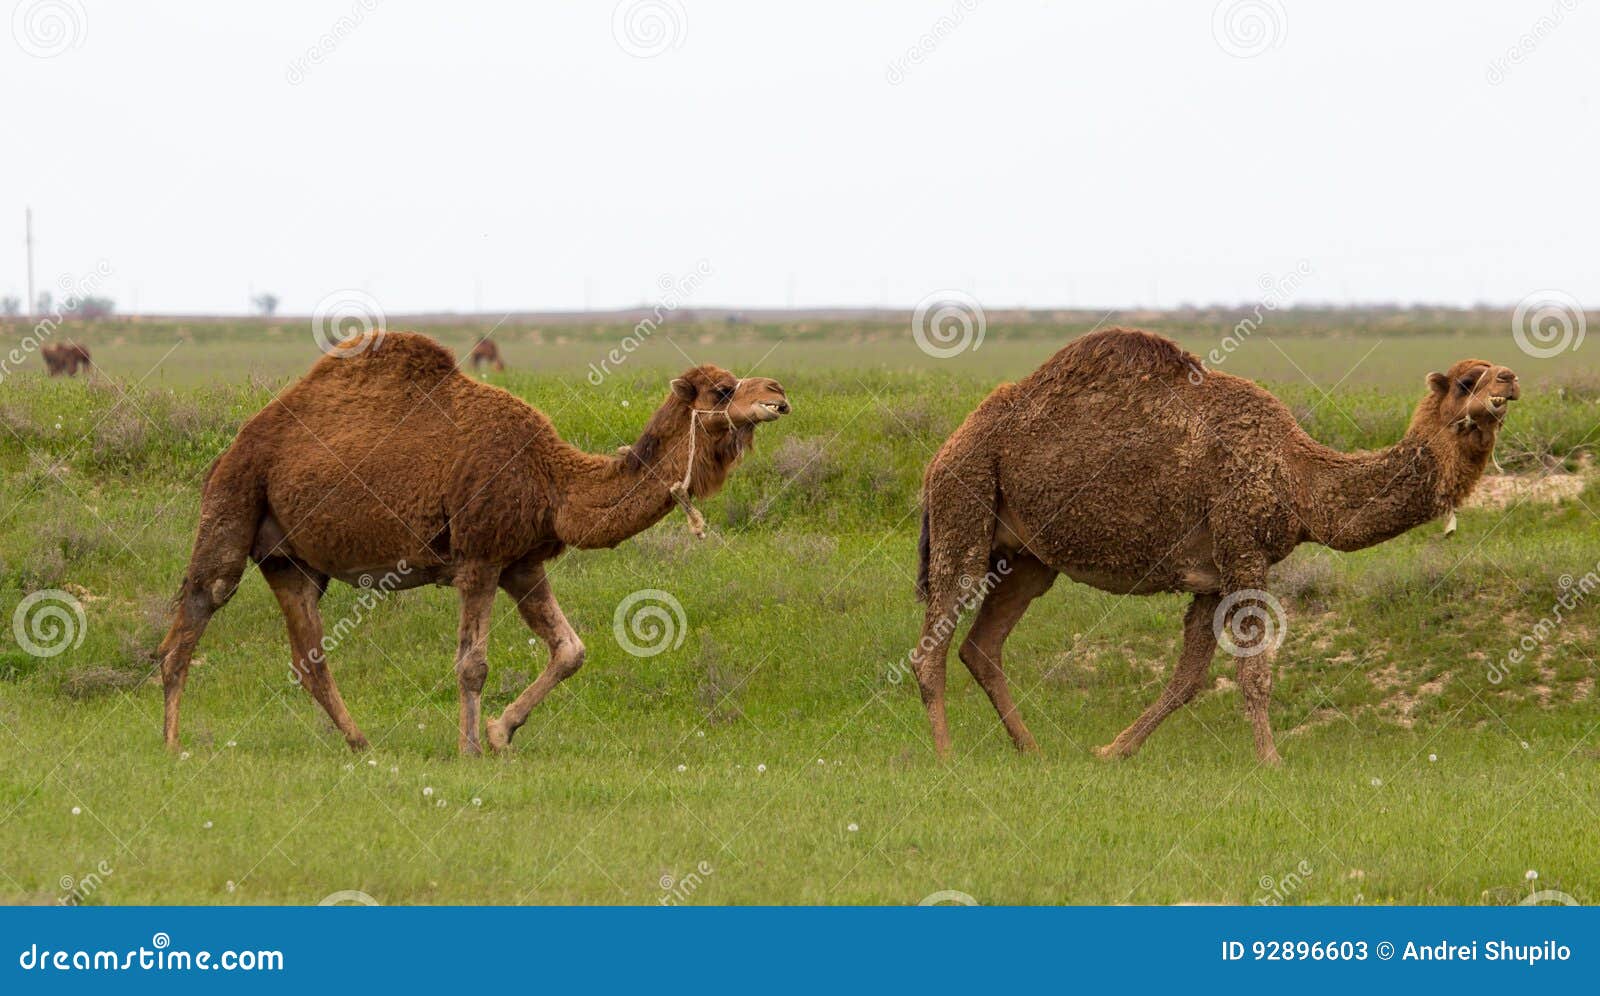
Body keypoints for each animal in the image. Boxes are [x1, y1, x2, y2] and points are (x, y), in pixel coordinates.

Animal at [157, 331, 789, 755]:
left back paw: (361, 744)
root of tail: (238, 443)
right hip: (236, 499)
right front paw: (470, 748)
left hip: (292, 559)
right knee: (195, 611)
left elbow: (571, 650)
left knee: (307, 652)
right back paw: (171, 742)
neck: (554, 483)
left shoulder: (522, 562)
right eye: (723, 388)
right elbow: (472, 664)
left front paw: (500, 732)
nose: (778, 393)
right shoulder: (480, 557)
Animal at [912, 327, 1519, 764]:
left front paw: (1113, 750)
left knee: (981, 646)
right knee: (933, 641)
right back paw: (945, 756)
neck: (1297, 479)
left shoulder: (1212, 573)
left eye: (1493, 372)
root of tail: (944, 450)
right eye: (1467, 380)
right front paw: (1271, 760)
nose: (1510, 378)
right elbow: (1254, 669)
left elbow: (1189, 678)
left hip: (1029, 559)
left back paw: (1031, 749)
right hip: (963, 503)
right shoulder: (1242, 547)